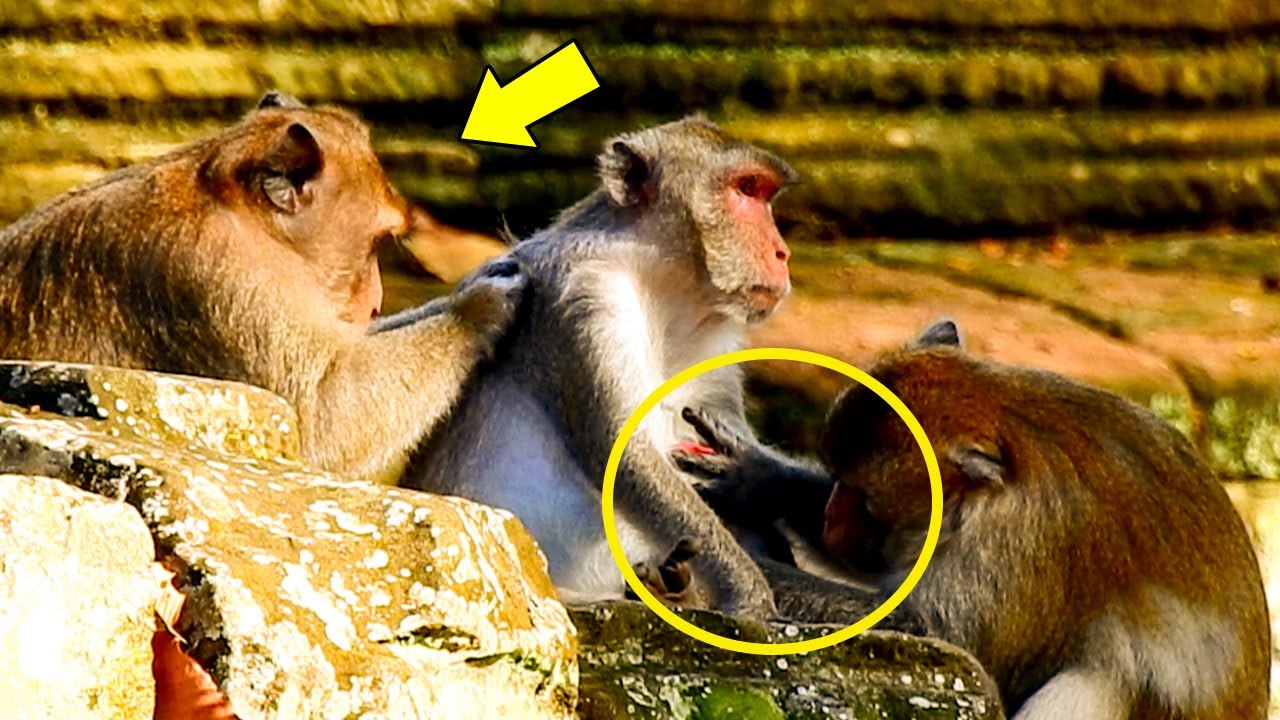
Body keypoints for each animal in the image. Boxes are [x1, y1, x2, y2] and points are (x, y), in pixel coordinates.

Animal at [0, 91, 525, 482]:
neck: (240, 210)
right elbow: (325, 418)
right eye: (376, 242)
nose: (375, 301)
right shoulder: (230, 287)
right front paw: (475, 310)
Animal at [402, 116, 828, 619]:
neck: (667, 290)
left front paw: (749, 479)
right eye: (746, 189)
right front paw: (748, 594)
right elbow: (621, 452)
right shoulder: (585, 294)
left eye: (765, 194)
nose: (783, 253)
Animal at [696, 320, 1270, 718]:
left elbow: (940, 639)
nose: (833, 521)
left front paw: (748, 567)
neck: (1007, 419)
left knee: (1102, 678)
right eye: (837, 479)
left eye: (864, 498)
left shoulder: (1026, 538)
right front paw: (758, 479)